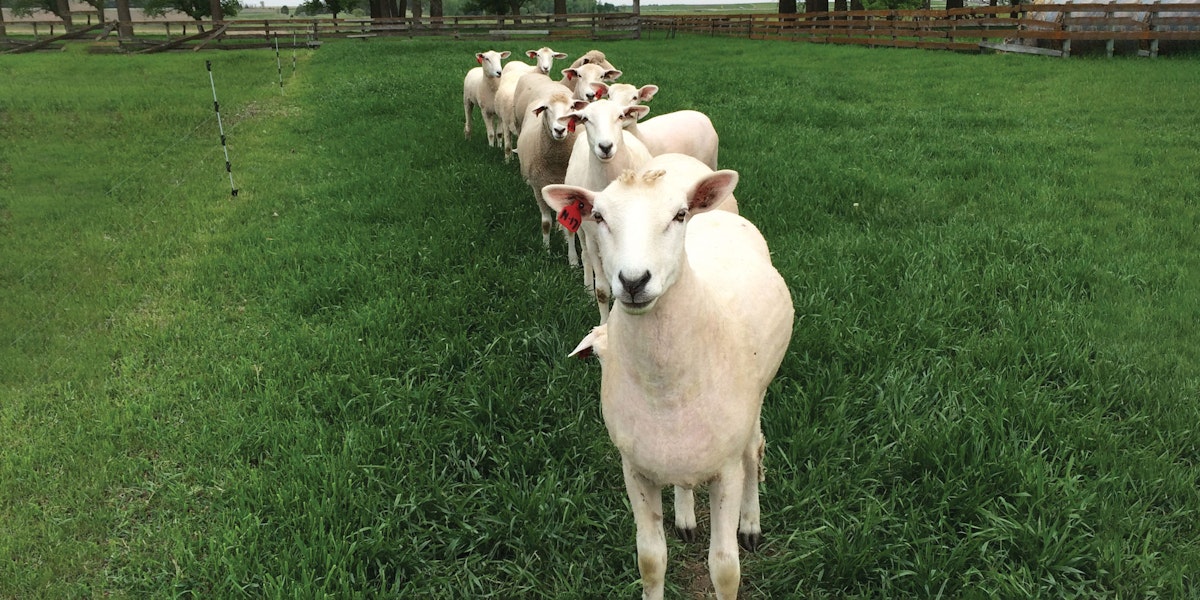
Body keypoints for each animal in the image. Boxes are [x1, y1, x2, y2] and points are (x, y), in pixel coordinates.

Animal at [517, 84, 589, 254]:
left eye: (571, 108)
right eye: (546, 109)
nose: (560, 130)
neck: (556, 165)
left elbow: (569, 228)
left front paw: (572, 255)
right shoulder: (538, 187)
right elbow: (545, 223)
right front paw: (546, 251)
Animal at [544, 160, 794, 600]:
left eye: (678, 215)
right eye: (598, 217)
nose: (633, 281)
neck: (665, 389)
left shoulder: (726, 470)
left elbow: (725, 570)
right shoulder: (635, 468)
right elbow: (650, 560)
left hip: (757, 400)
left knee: (755, 451)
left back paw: (750, 523)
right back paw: (685, 516)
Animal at [558, 99, 652, 323]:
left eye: (620, 116)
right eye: (585, 119)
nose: (606, 146)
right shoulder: (594, 240)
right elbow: (602, 290)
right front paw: (604, 323)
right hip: (583, 229)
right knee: (584, 254)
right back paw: (586, 289)